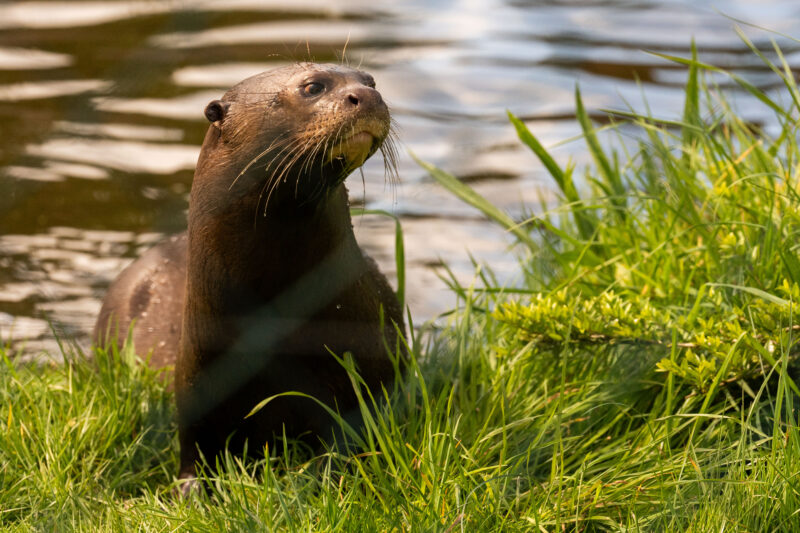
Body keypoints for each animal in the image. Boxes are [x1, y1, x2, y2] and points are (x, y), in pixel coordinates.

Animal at [93, 63, 404, 486]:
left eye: (370, 80)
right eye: (313, 87)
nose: (368, 96)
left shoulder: (369, 370)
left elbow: (355, 436)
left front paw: (318, 474)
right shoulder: (199, 381)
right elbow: (194, 451)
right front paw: (190, 489)